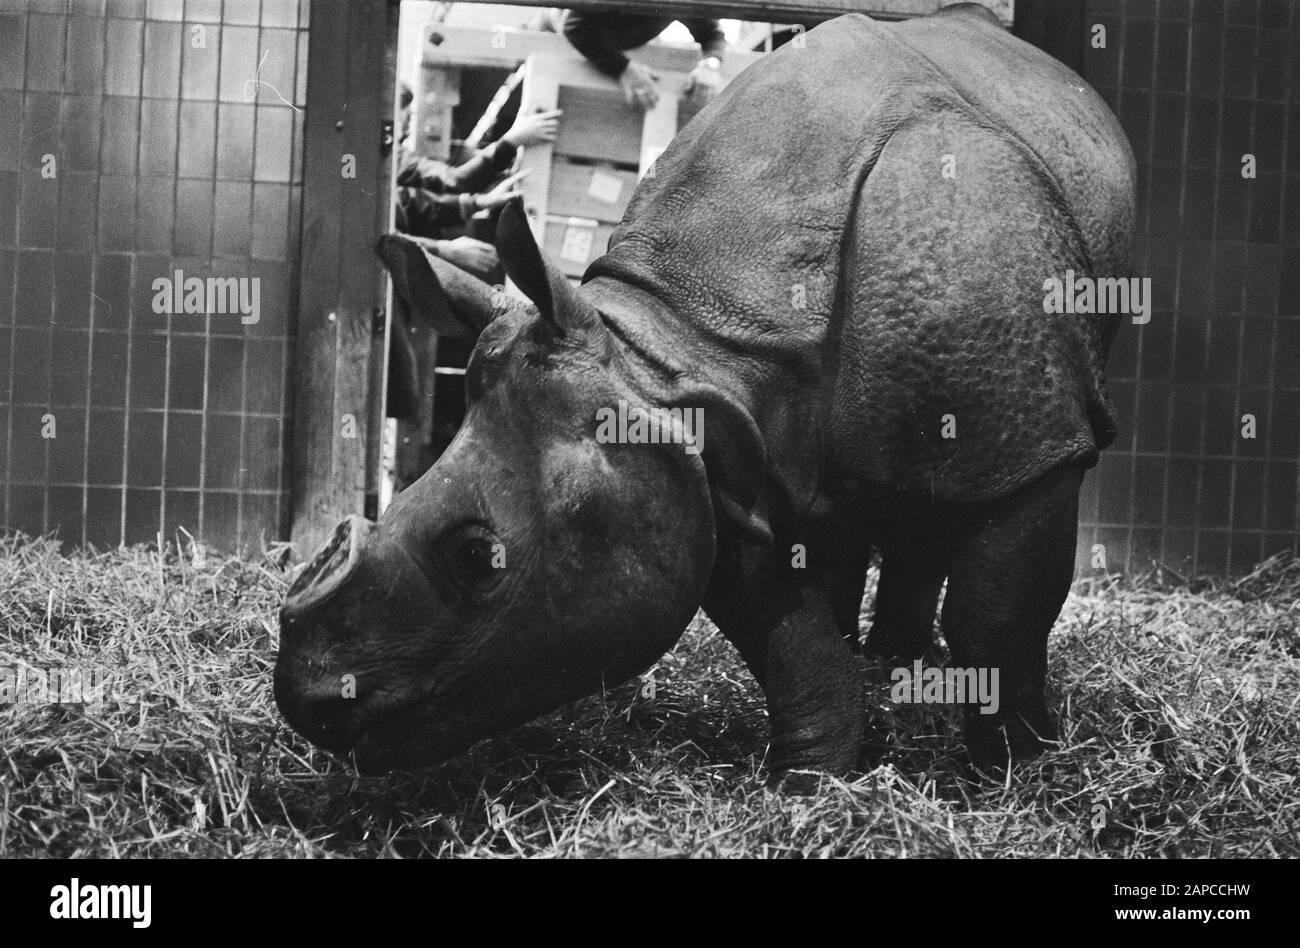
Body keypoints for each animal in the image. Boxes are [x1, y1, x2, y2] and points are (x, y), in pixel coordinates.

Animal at [275, 5, 1134, 779]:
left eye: (477, 557)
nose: (314, 707)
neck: (678, 343)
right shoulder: (698, 451)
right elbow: (787, 640)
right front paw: (809, 784)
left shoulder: (1034, 445)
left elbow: (997, 618)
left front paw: (1016, 779)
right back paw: (888, 669)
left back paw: (912, 676)